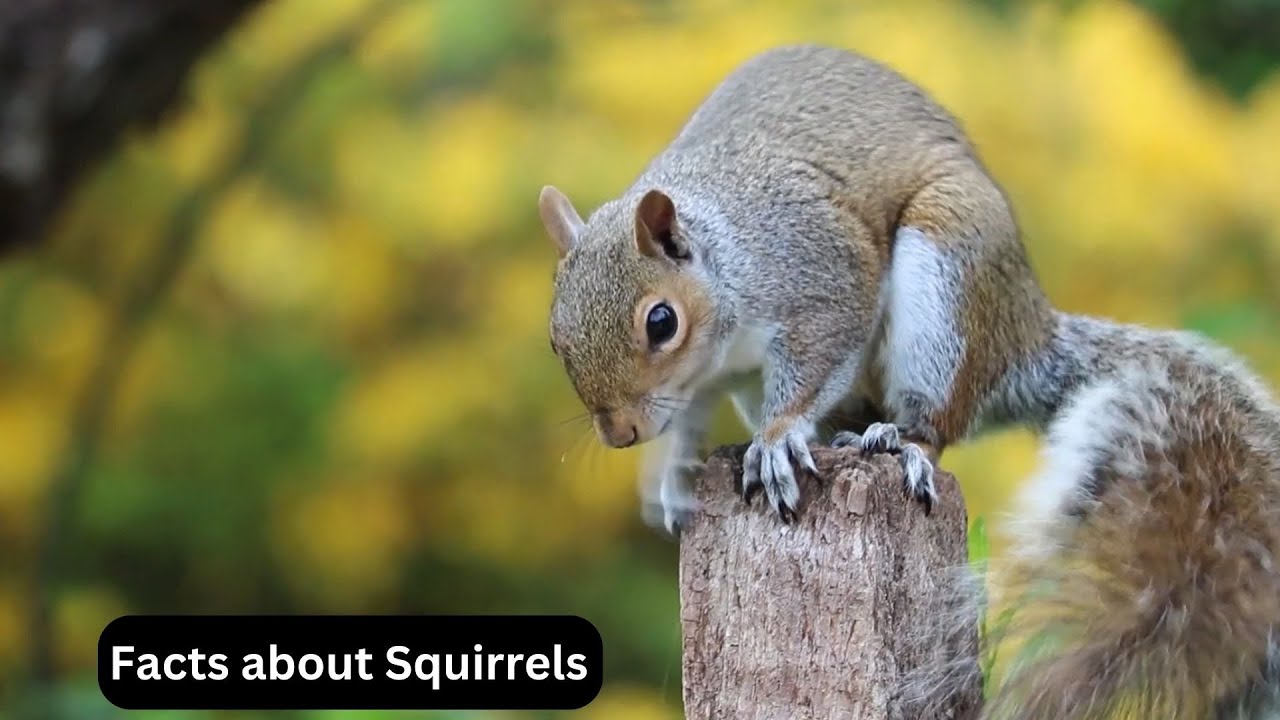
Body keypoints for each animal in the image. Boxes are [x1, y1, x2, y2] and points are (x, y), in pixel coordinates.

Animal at [539, 44, 1280, 717]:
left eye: (661, 321)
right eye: (554, 334)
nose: (620, 434)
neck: (727, 258)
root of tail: (1023, 338)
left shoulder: (824, 274)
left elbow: (817, 357)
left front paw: (777, 440)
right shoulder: (712, 380)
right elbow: (689, 419)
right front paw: (674, 475)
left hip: (946, 280)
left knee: (939, 421)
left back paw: (901, 441)